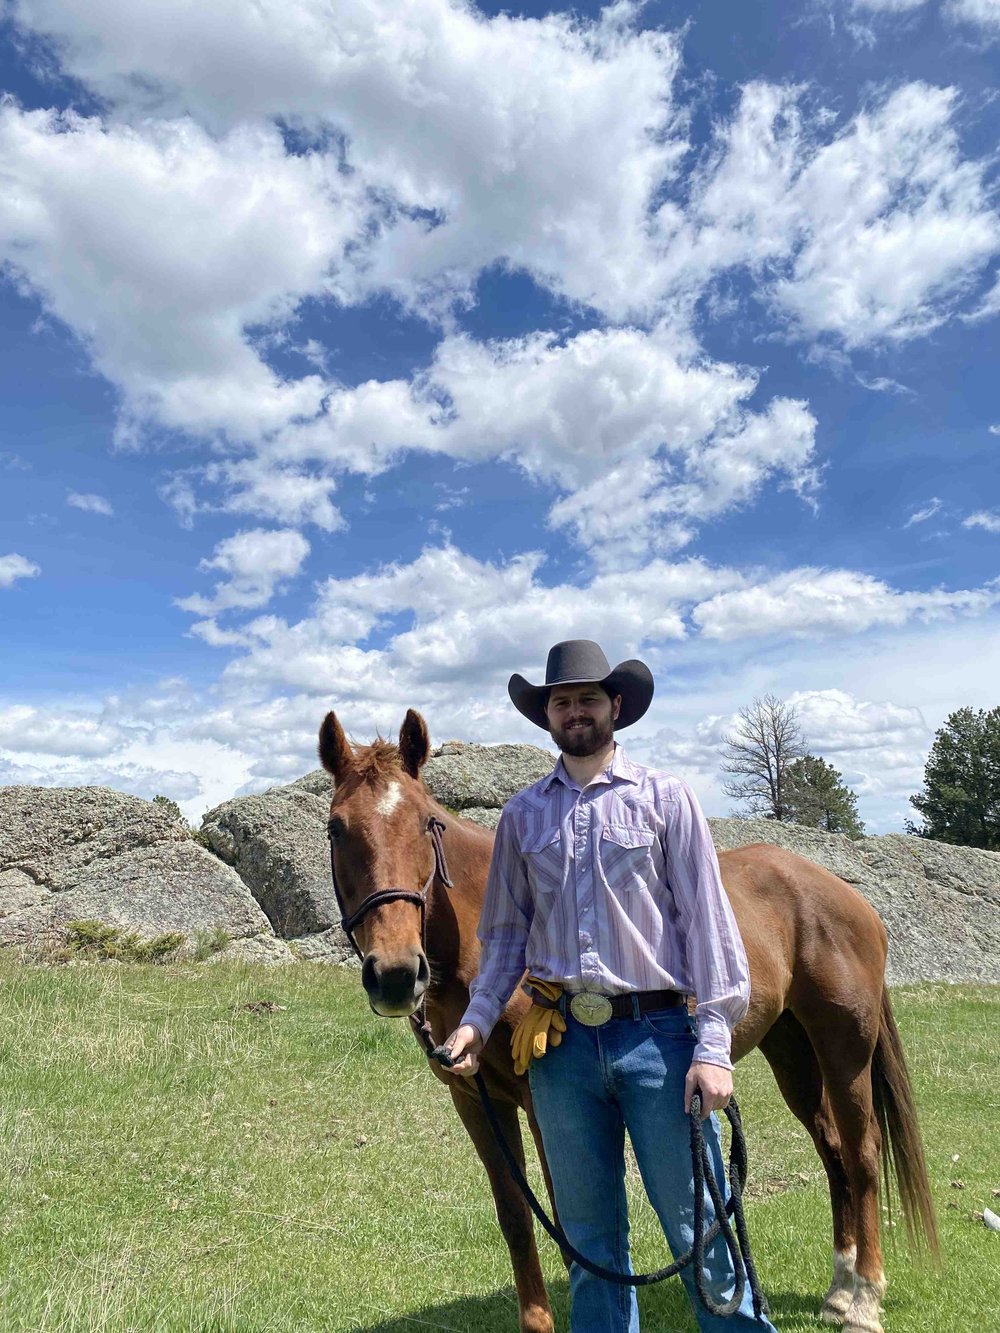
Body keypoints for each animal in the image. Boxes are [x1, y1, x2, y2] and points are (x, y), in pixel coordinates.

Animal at [318, 708, 938, 1333]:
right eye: (335, 829)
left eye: (426, 823)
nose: (396, 973)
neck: (484, 950)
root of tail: (842, 893)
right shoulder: (475, 1101)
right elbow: (517, 1216)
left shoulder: (541, 1102)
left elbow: (568, 1225)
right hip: (792, 1053)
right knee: (834, 1153)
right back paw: (839, 1289)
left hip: (844, 1050)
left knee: (862, 1155)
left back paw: (863, 1298)